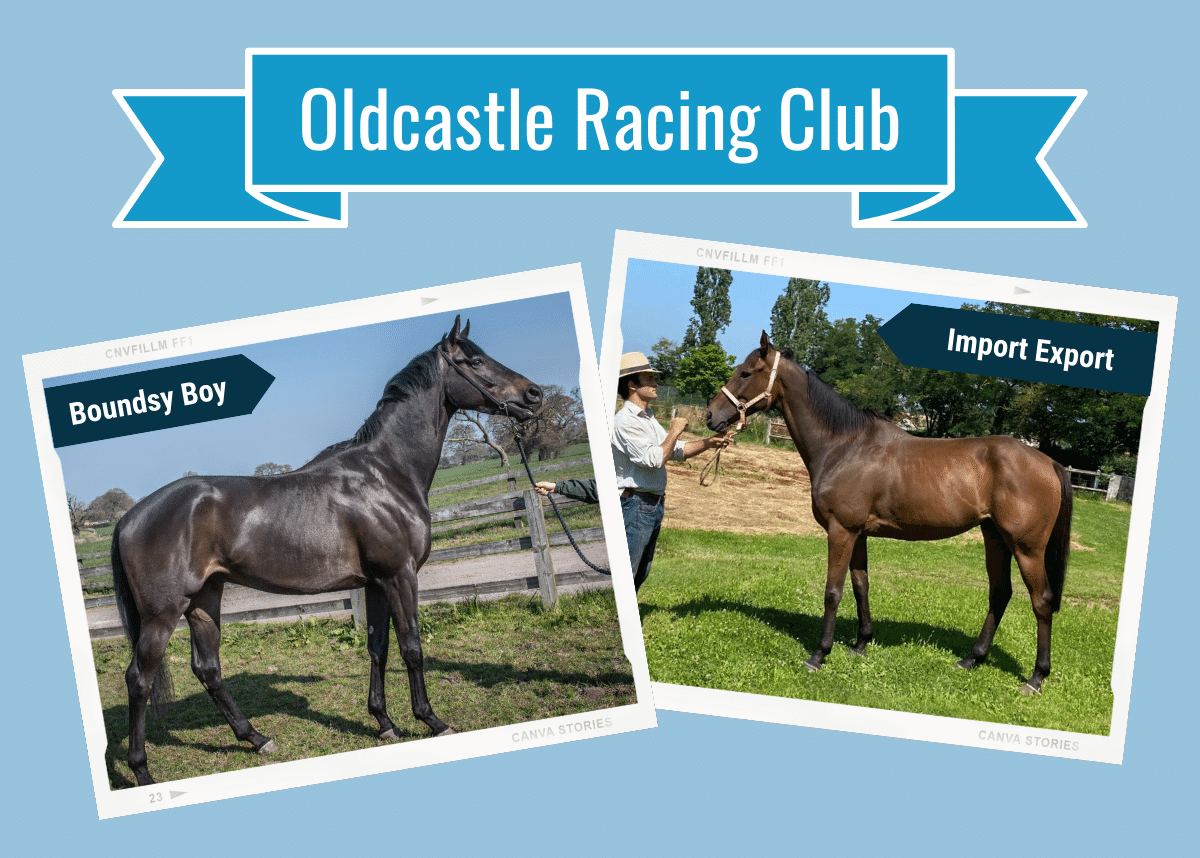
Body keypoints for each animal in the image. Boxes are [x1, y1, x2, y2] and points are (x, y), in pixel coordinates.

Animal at [111, 315, 543, 785]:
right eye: (475, 361)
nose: (534, 395)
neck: (386, 474)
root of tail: (130, 516)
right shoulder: (400, 576)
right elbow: (411, 647)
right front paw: (431, 720)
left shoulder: (375, 583)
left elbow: (378, 648)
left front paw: (385, 723)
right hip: (163, 614)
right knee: (138, 680)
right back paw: (142, 771)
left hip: (204, 600)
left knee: (208, 670)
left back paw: (257, 739)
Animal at [705, 332, 1072, 694]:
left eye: (746, 373)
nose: (710, 416)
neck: (845, 446)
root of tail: (1051, 463)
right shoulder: (858, 534)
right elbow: (860, 586)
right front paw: (860, 645)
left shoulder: (841, 530)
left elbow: (833, 591)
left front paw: (819, 655)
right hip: (994, 537)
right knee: (1000, 593)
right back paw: (971, 659)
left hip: (1027, 548)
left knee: (1041, 601)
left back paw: (1035, 678)